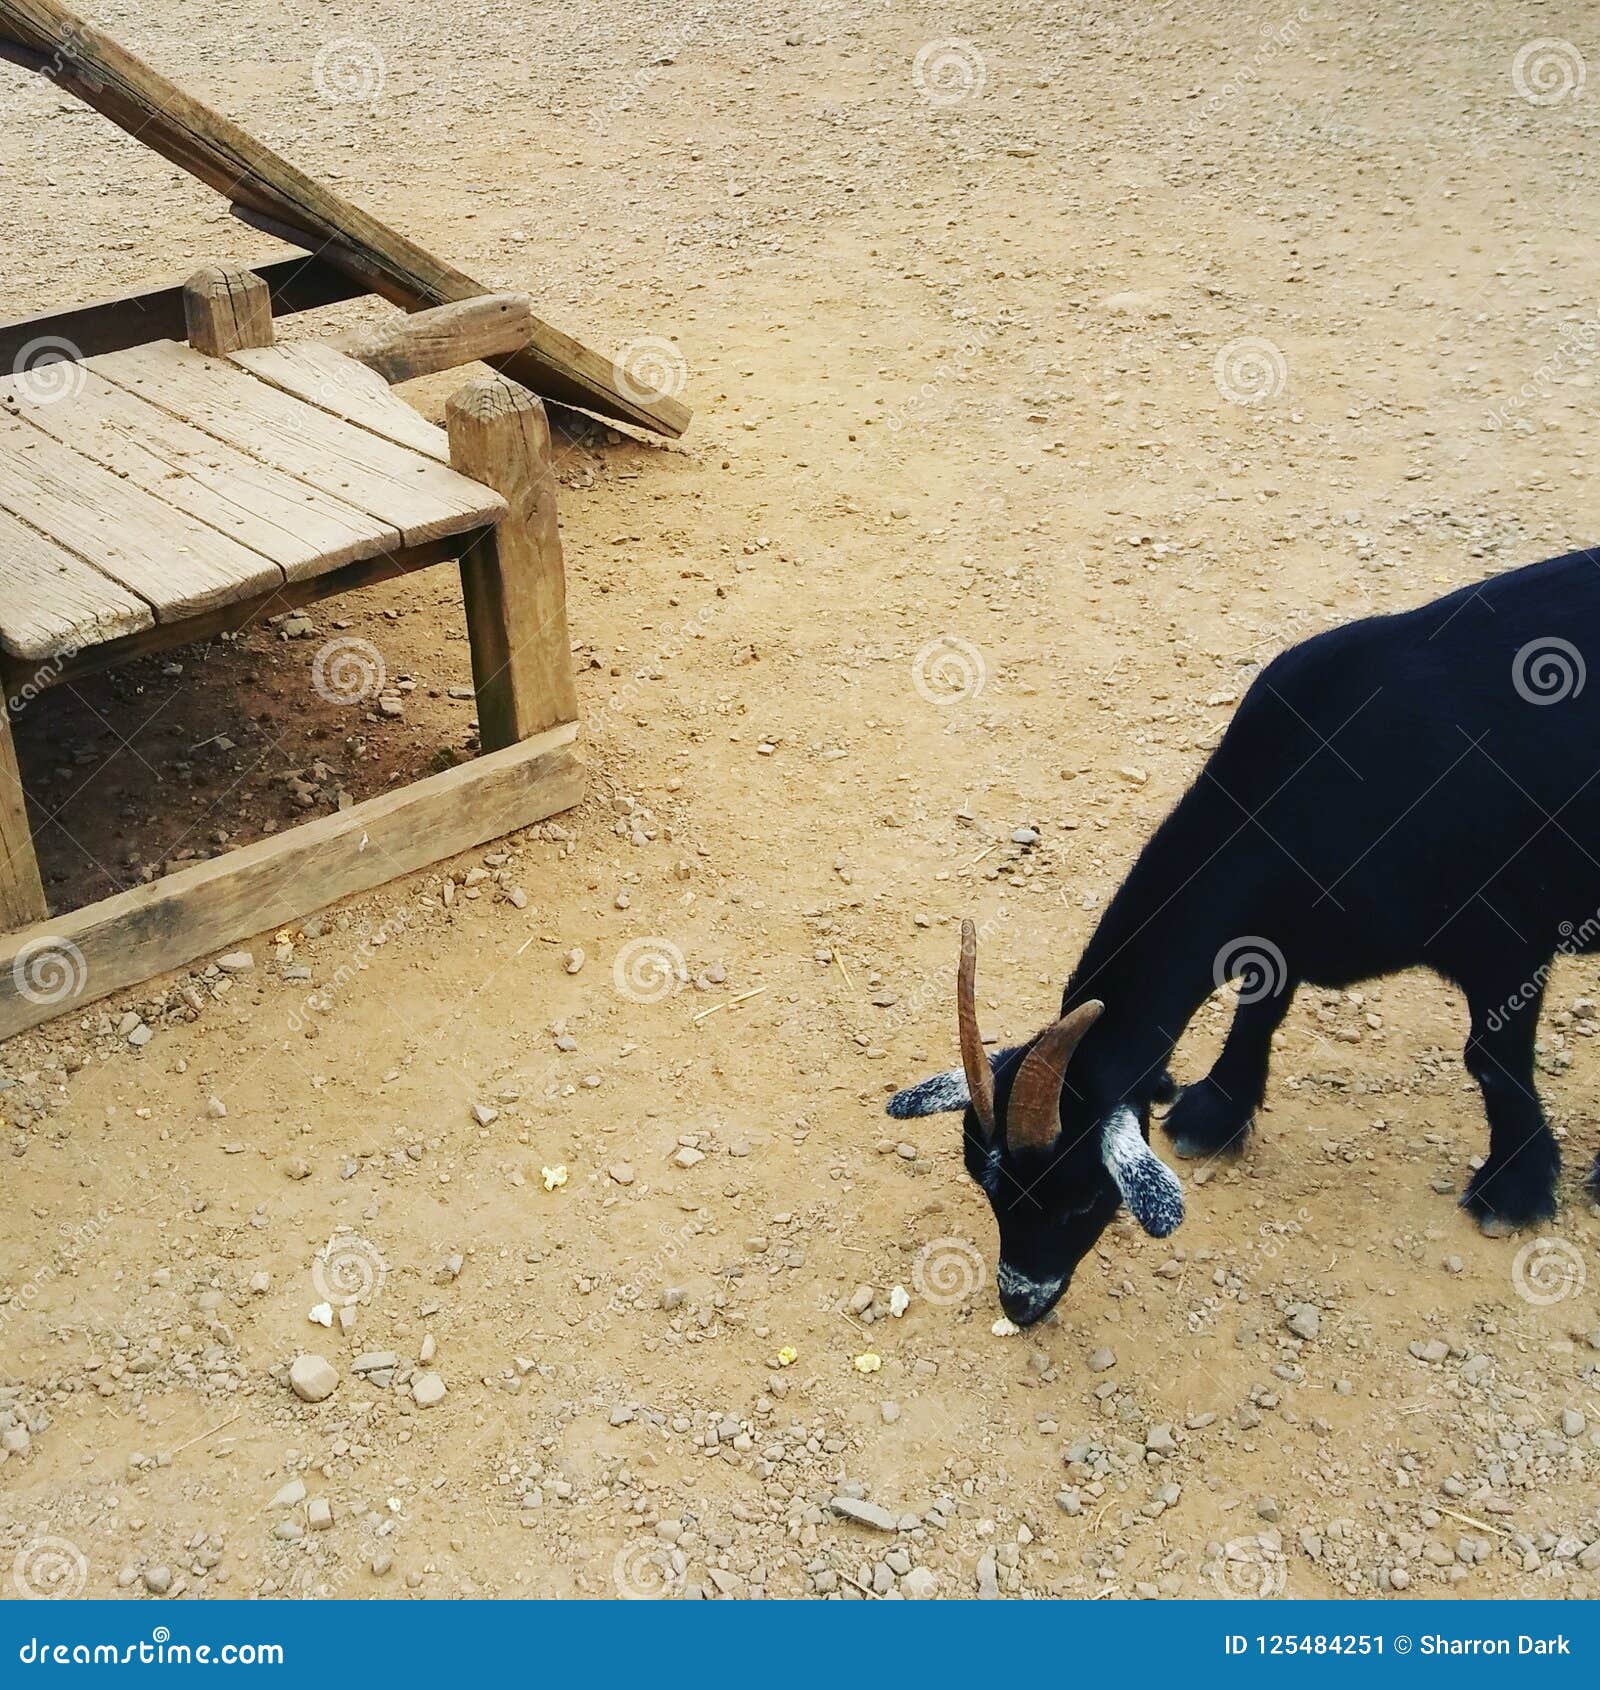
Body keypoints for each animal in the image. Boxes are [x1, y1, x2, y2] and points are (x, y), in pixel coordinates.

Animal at [889, 548, 1600, 1327]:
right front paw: (1214, 1112)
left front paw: (1514, 1189)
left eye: (1078, 1199)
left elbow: (1491, 1059)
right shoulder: (1283, 928)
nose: (1020, 1303)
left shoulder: (1505, 942)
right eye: (985, 1188)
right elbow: (1261, 1005)